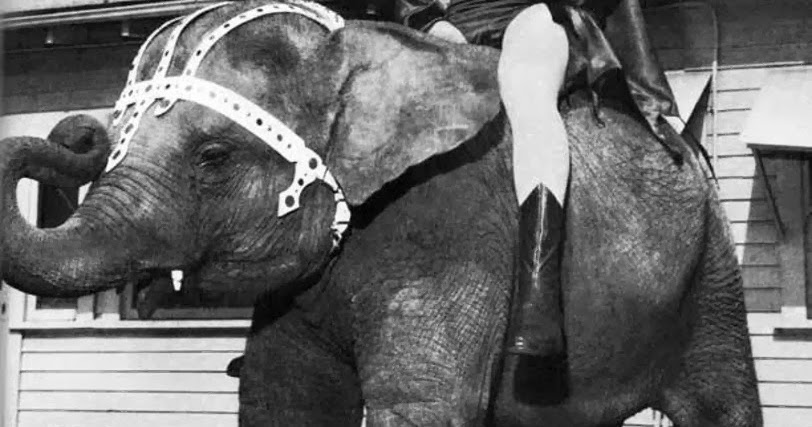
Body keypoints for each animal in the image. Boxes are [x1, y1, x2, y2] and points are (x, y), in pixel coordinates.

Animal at [0, 1, 761, 426]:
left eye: (214, 156)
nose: (76, 132)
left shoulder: (453, 234)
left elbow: (419, 405)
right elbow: (284, 401)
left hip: (711, 270)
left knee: (724, 398)